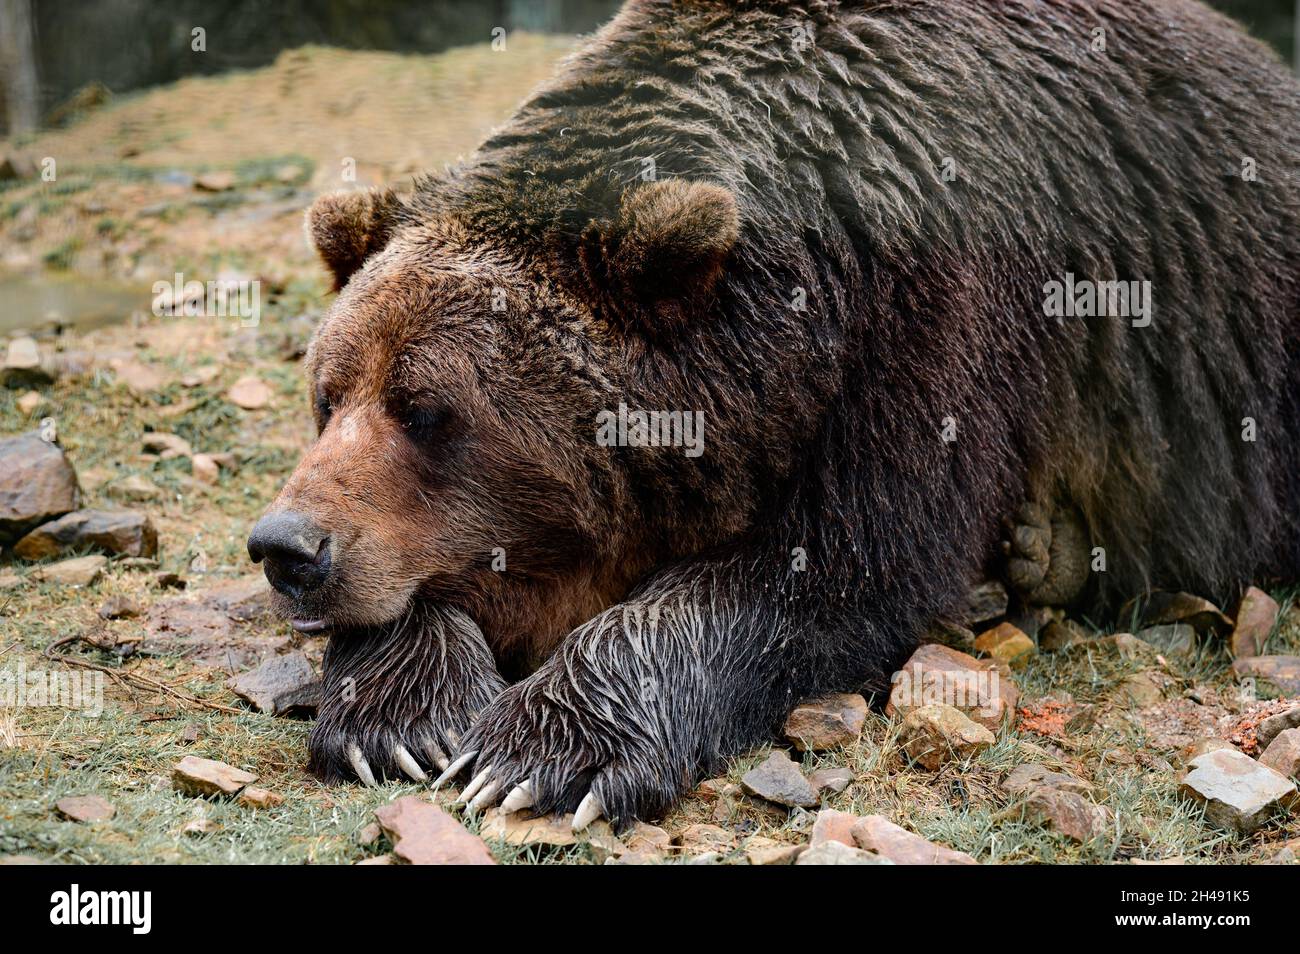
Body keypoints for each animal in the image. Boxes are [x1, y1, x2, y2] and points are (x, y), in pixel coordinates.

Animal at [248, 0, 1300, 828]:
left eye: (428, 410)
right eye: (329, 396)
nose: (287, 547)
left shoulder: (935, 327)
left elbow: (836, 571)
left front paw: (546, 752)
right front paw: (402, 719)